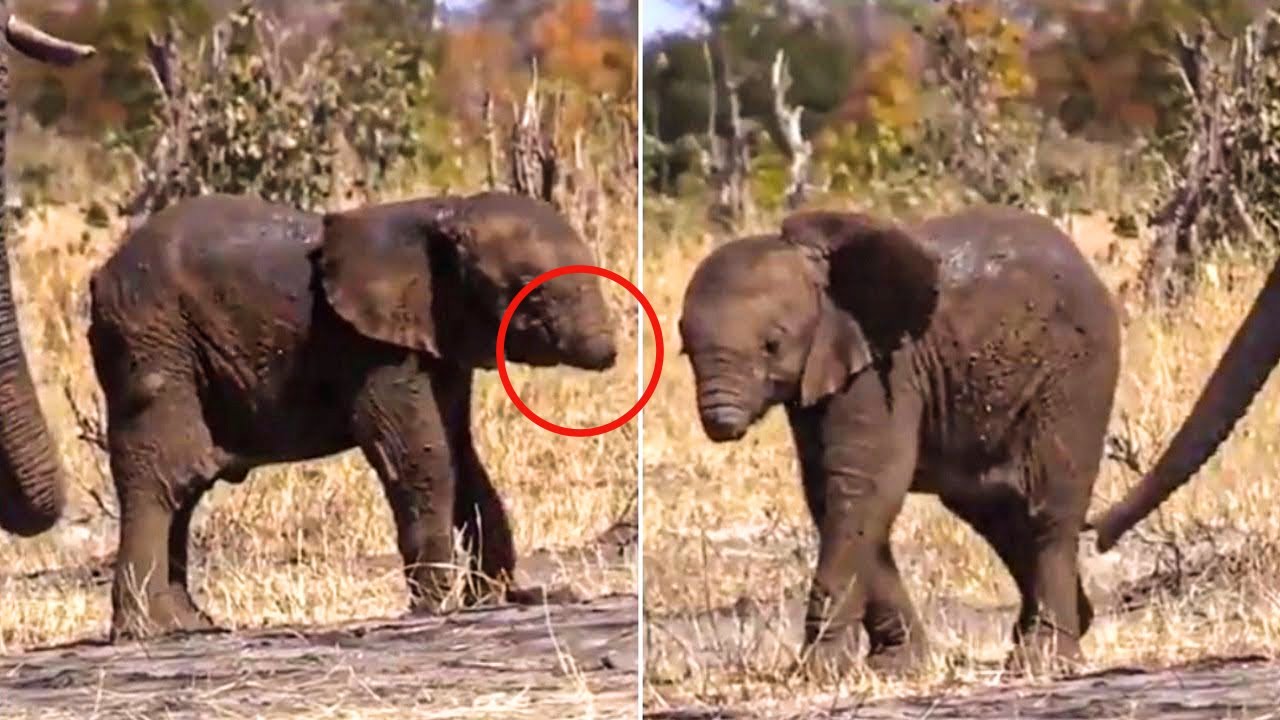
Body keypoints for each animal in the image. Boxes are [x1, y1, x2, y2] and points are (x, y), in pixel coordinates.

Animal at [4, 189, 613, 641]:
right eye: (527, 293)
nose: (608, 354)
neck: (439, 214)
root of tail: (101, 276)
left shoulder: (437, 338)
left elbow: (460, 451)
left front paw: (493, 598)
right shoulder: (370, 346)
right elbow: (417, 452)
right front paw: (439, 607)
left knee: (183, 480)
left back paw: (188, 624)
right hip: (153, 339)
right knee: (167, 469)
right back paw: (151, 632)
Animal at [678, 206, 1121, 674]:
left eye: (772, 345)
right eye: (685, 349)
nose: (723, 424)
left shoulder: (885, 370)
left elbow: (864, 488)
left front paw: (818, 670)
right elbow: (831, 495)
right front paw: (897, 665)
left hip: (1077, 369)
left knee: (1047, 509)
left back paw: (1043, 658)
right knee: (995, 510)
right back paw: (1067, 624)